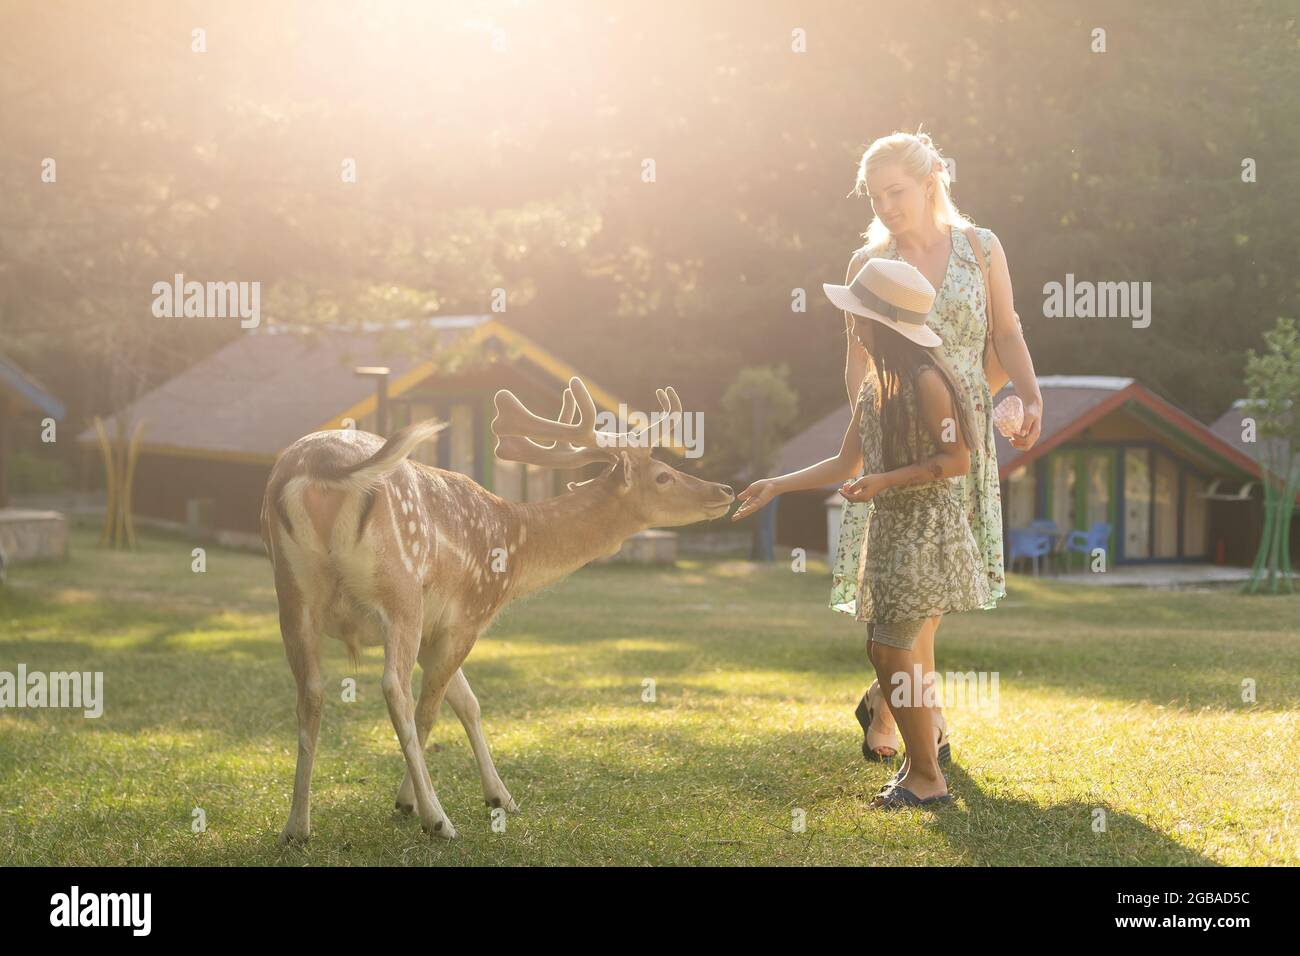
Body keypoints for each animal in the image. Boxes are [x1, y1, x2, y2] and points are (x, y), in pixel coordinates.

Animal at [260, 376, 734, 842]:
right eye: (663, 476)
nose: (725, 490)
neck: (516, 550)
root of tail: (319, 467)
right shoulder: (467, 614)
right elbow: (434, 708)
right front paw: (414, 803)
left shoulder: (436, 629)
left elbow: (468, 703)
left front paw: (498, 796)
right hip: (400, 591)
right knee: (396, 688)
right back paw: (439, 820)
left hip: (292, 595)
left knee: (311, 691)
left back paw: (296, 826)